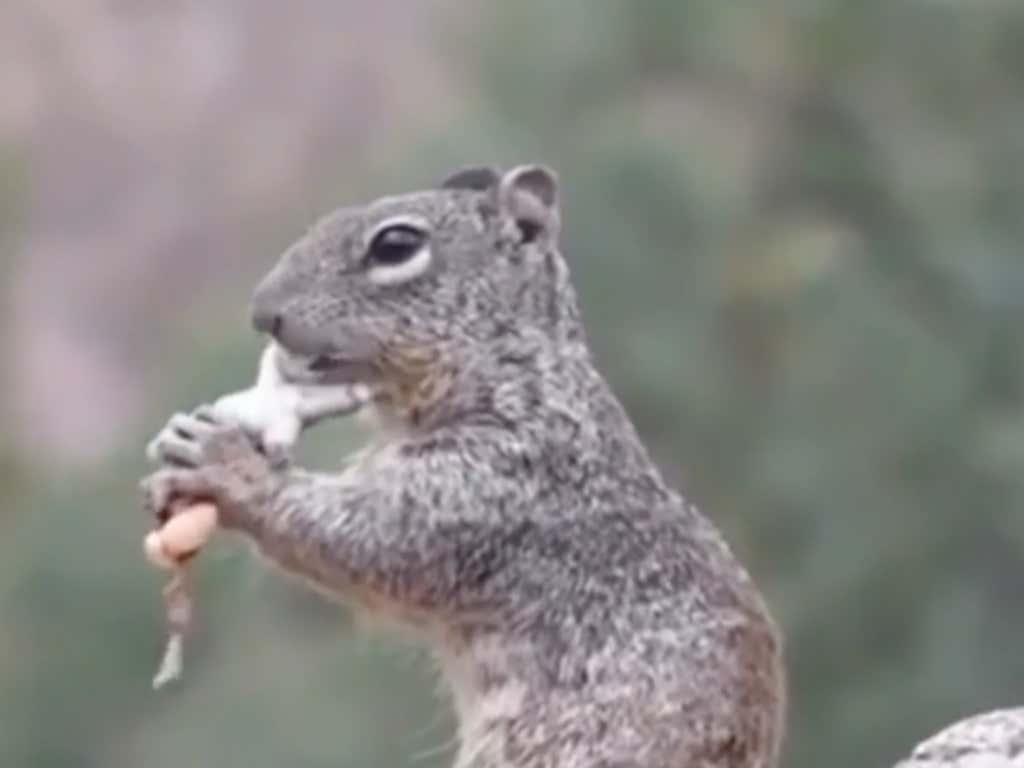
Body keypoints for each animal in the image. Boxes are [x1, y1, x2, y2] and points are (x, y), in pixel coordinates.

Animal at [141, 163, 782, 767]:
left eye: (396, 245)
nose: (262, 314)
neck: (518, 369)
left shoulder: (503, 474)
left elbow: (374, 535)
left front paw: (226, 465)